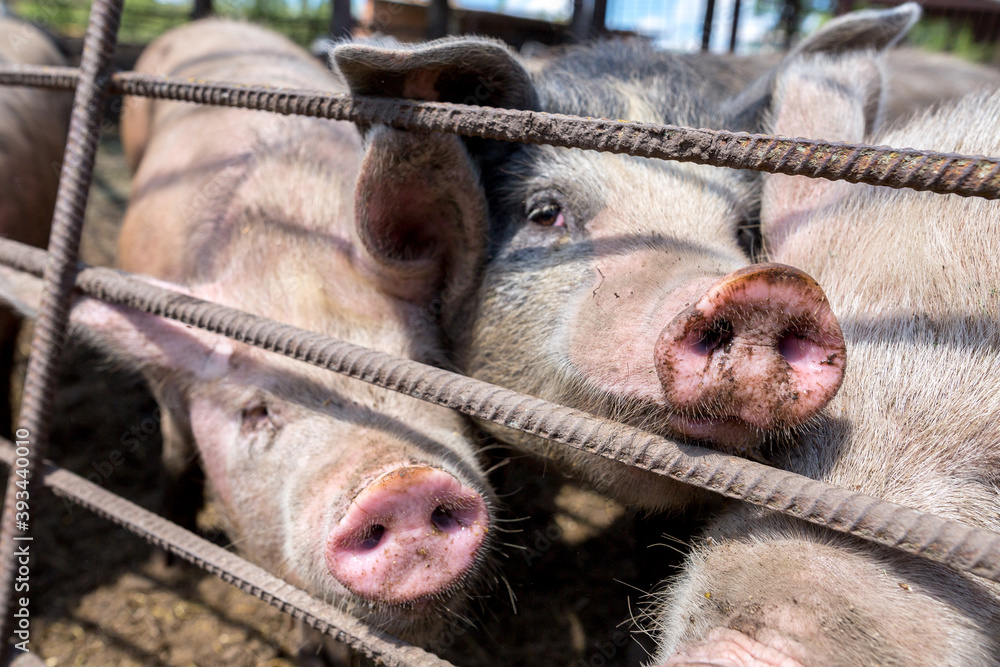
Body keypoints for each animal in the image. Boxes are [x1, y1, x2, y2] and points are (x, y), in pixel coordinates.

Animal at [14, 19, 497, 647]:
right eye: (256, 412)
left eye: (426, 373)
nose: (403, 482)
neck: (288, 243)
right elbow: (176, 448)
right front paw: (172, 559)